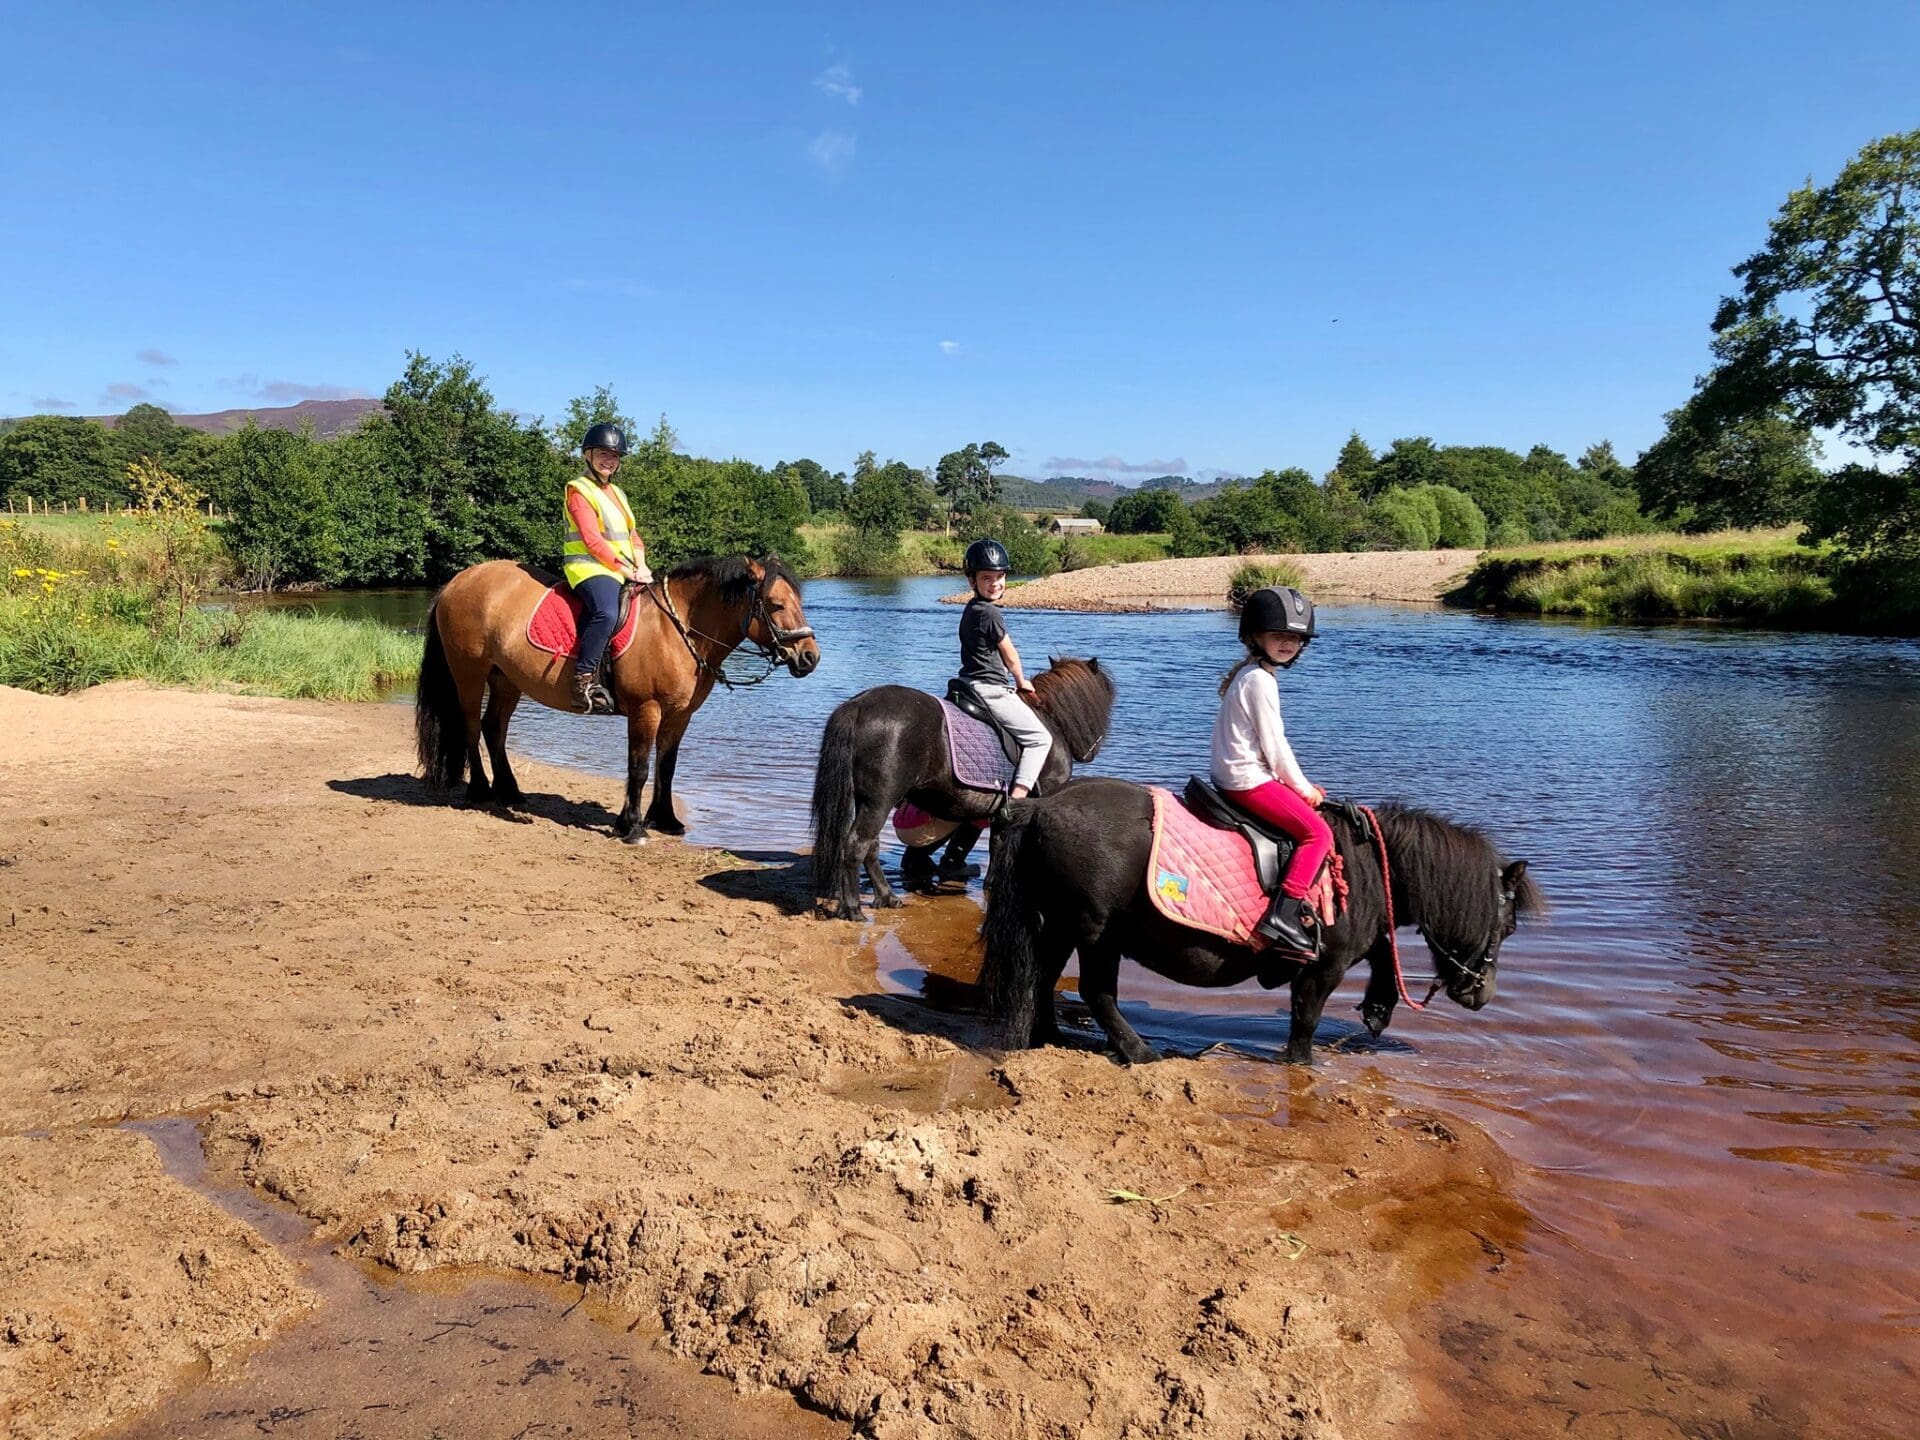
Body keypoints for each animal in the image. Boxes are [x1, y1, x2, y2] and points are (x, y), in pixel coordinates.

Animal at [414, 555, 820, 844]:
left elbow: (667, 767)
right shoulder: (646, 710)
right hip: (470, 672)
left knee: (494, 728)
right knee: (470, 727)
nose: (810, 658)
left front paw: (665, 820)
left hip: (506, 679)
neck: (677, 630)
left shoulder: (679, 716)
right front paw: (633, 827)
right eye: (776, 604)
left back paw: (510, 792)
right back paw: (481, 791)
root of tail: (457, 581)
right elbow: (639, 768)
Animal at [810, 657, 1116, 921]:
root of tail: (859, 705)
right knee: (856, 845)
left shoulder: (1002, 811)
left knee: (870, 846)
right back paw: (853, 908)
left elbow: (997, 845)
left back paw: (886, 897)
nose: (1092, 751)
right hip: (879, 801)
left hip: (869, 801)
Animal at [979, 776, 1543, 1065]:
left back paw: (1049, 1036)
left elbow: (1382, 948)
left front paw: (1379, 1007)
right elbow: (1305, 1023)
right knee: (1096, 991)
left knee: (1044, 979)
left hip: (1058, 925)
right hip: (1098, 932)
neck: (1365, 867)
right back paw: (1140, 1050)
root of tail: (1040, 807)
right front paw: (1304, 1064)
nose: (1483, 993)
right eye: (1508, 927)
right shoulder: (1321, 968)